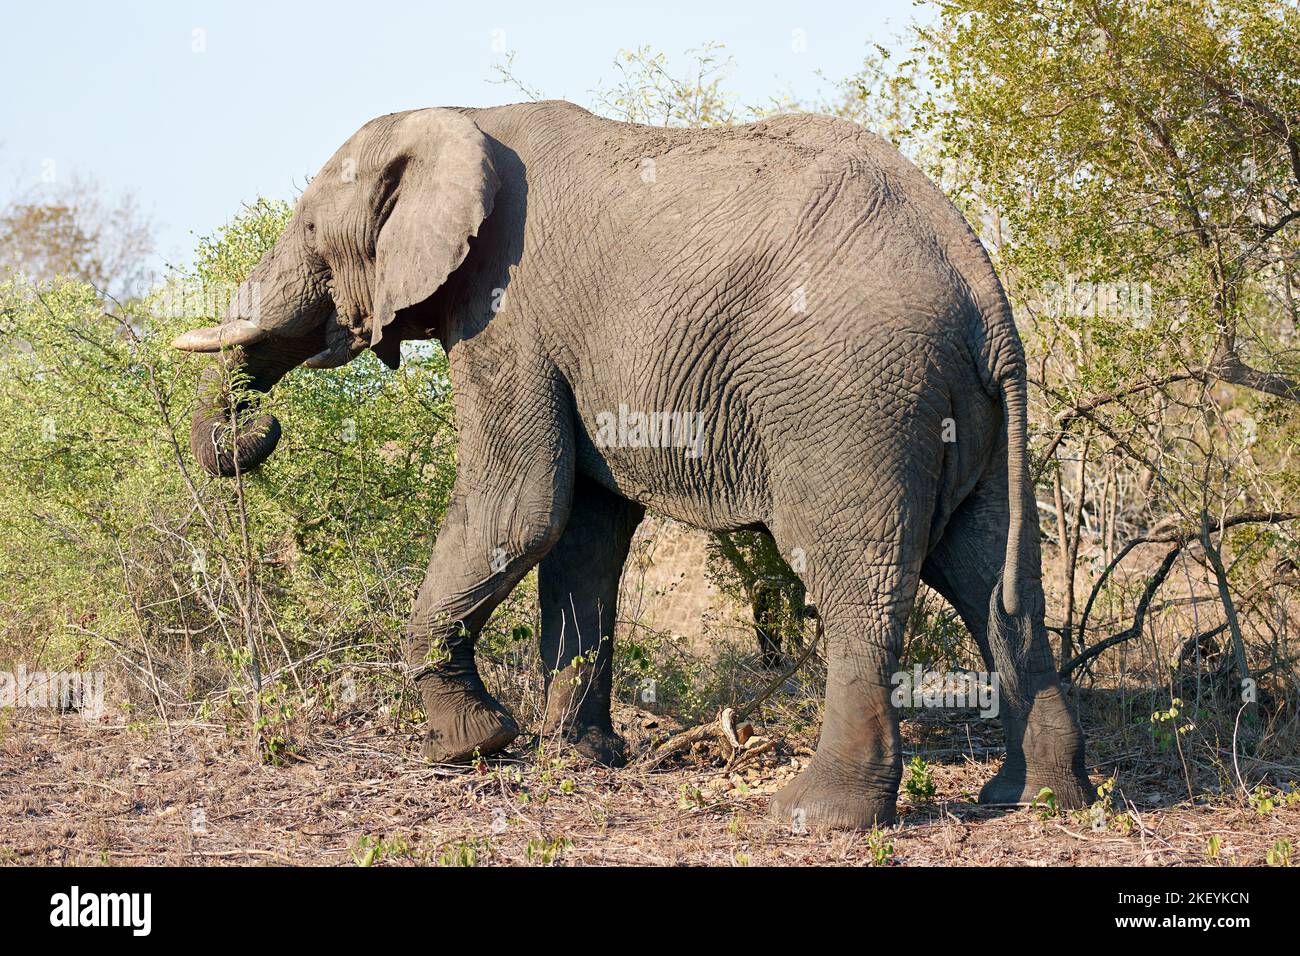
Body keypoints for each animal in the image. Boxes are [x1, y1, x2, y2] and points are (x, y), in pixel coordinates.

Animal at [173, 100, 1092, 829]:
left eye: (311, 232)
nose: (261, 426)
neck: (459, 115)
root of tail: (984, 291)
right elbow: (582, 534)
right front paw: (576, 759)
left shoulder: (507, 312)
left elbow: (518, 507)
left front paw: (468, 747)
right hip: (961, 414)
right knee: (991, 581)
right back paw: (1036, 799)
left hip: (853, 400)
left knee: (853, 581)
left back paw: (813, 816)